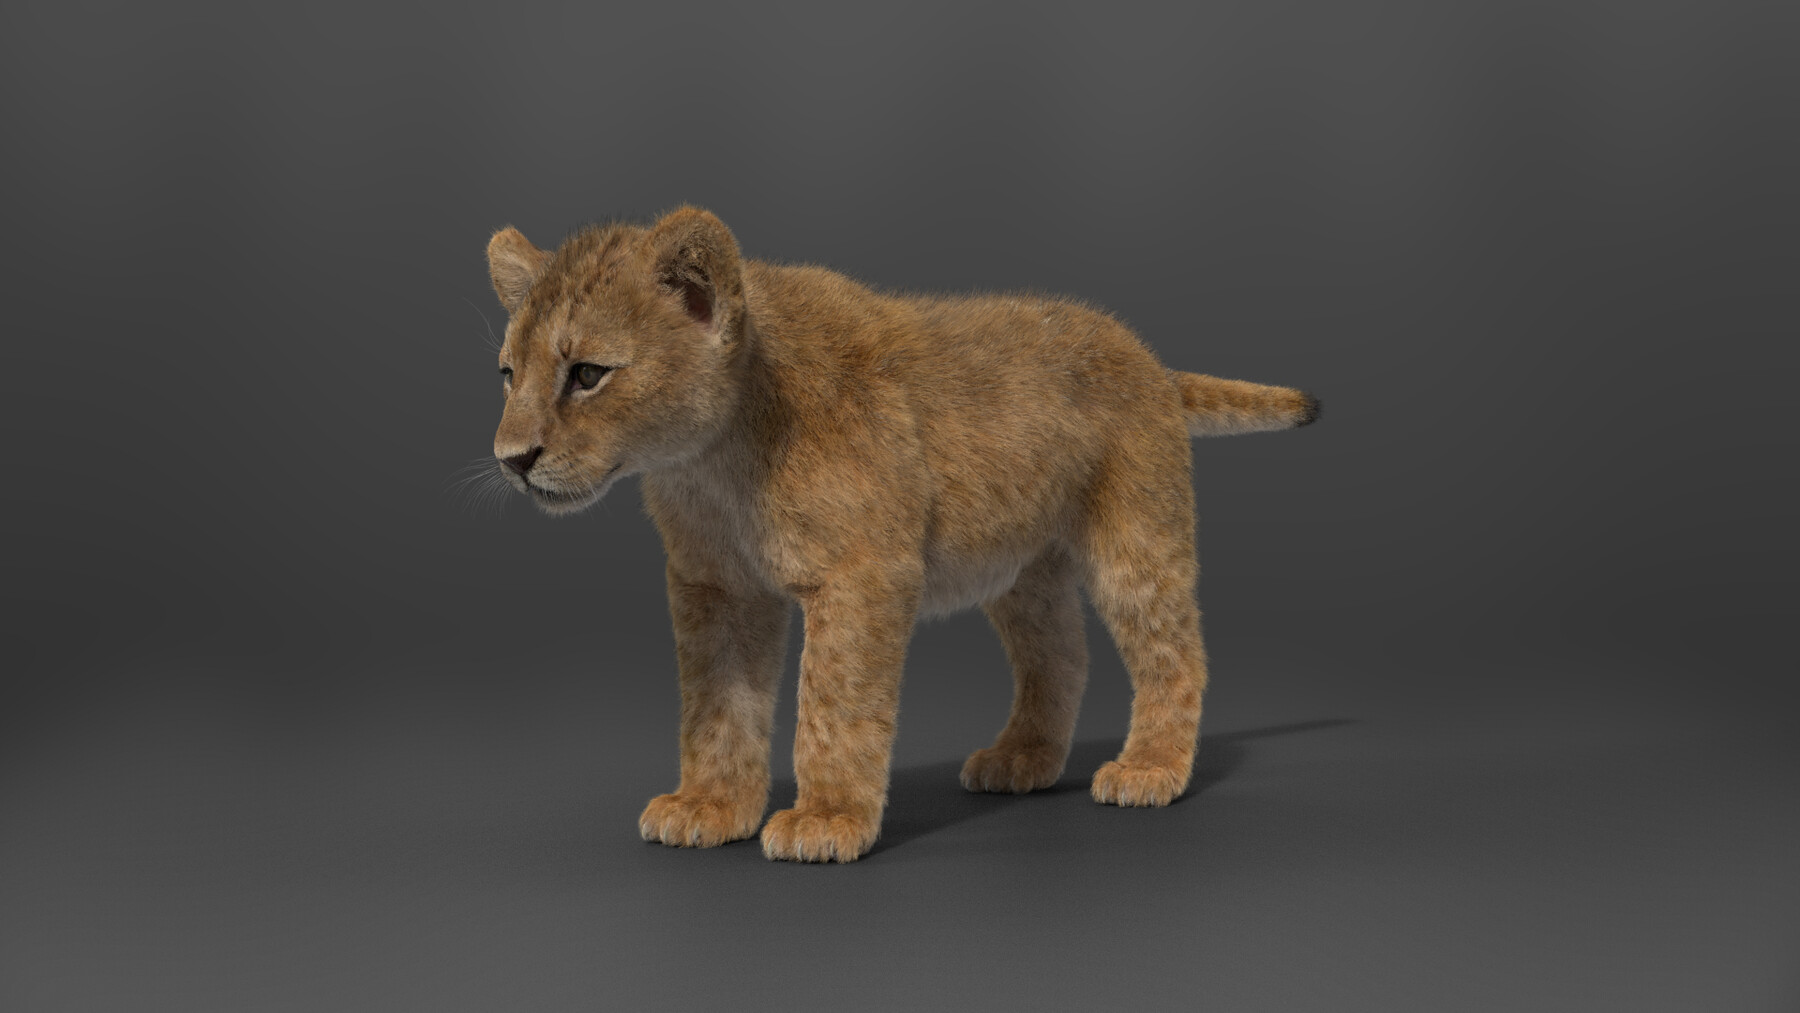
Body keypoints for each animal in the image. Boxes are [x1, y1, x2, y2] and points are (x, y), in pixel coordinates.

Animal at [482, 206, 1318, 862]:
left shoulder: (864, 572)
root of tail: (1148, 357)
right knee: (1062, 655)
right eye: (508, 374)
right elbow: (715, 706)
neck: (709, 461)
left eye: (587, 374)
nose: (511, 460)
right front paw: (709, 806)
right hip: (1023, 567)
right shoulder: (715, 587)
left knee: (1175, 653)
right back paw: (1022, 758)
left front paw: (826, 819)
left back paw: (1150, 768)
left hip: (1135, 539)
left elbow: (834, 700)